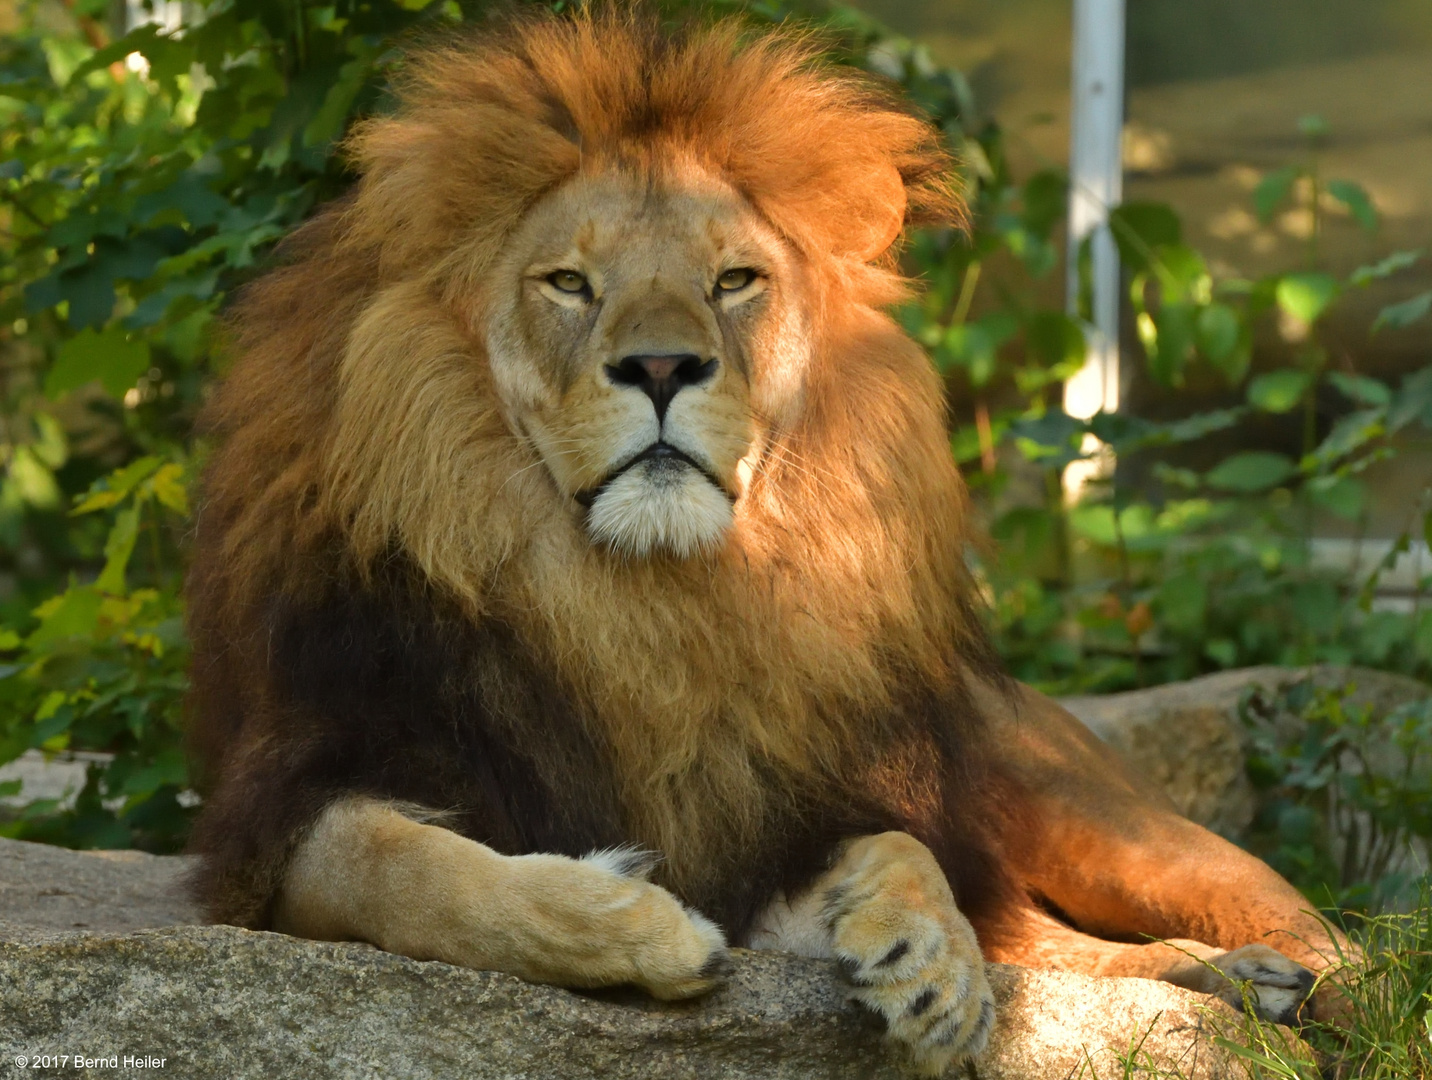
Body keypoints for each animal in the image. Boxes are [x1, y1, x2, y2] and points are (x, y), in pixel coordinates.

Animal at [185, 8, 1333, 1074]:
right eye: (569, 283)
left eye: (732, 281)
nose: (660, 367)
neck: (641, 606)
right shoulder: (284, 812)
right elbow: (413, 873)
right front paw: (642, 927)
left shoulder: (788, 819)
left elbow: (905, 845)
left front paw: (933, 964)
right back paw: (1239, 981)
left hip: (1089, 807)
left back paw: (1266, 975)